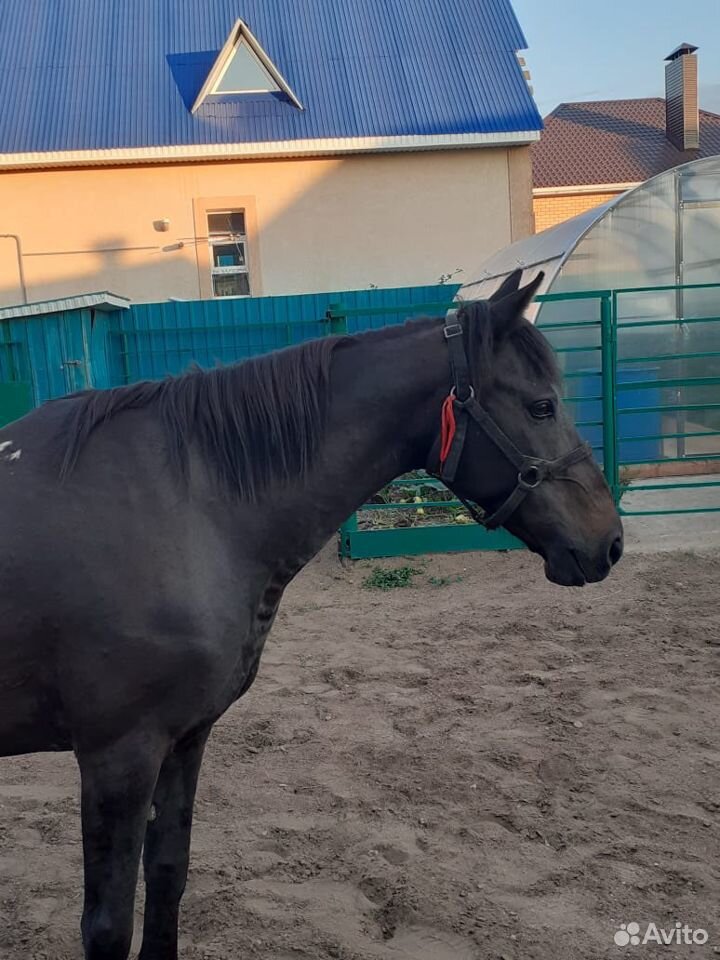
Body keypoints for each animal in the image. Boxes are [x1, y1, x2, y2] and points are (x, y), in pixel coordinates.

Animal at [0, 270, 622, 959]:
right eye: (541, 406)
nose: (609, 542)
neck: (186, 505)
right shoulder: (118, 757)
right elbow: (108, 927)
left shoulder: (184, 739)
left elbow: (167, 877)